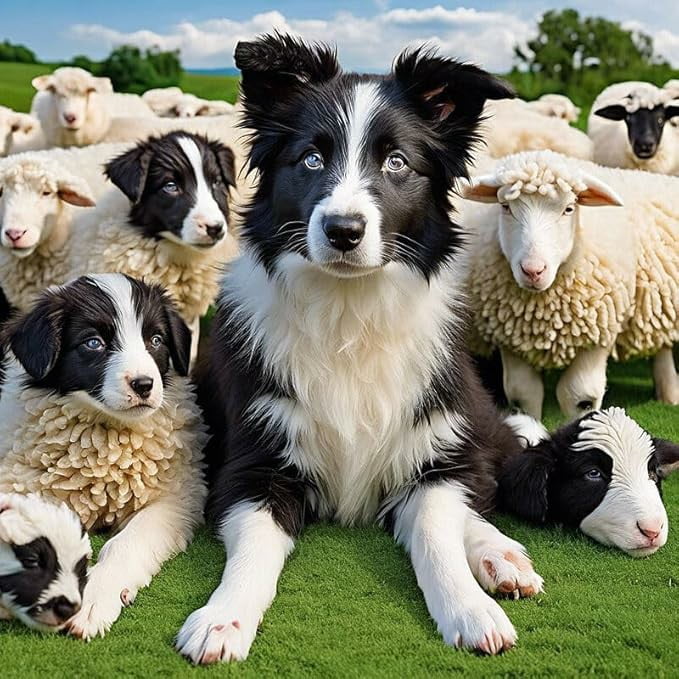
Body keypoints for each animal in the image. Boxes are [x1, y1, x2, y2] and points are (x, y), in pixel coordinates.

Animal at [461, 150, 678, 419]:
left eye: (568, 209)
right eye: (505, 207)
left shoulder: (599, 332)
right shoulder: (509, 335)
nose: (533, 271)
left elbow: (580, 395)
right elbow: (523, 394)